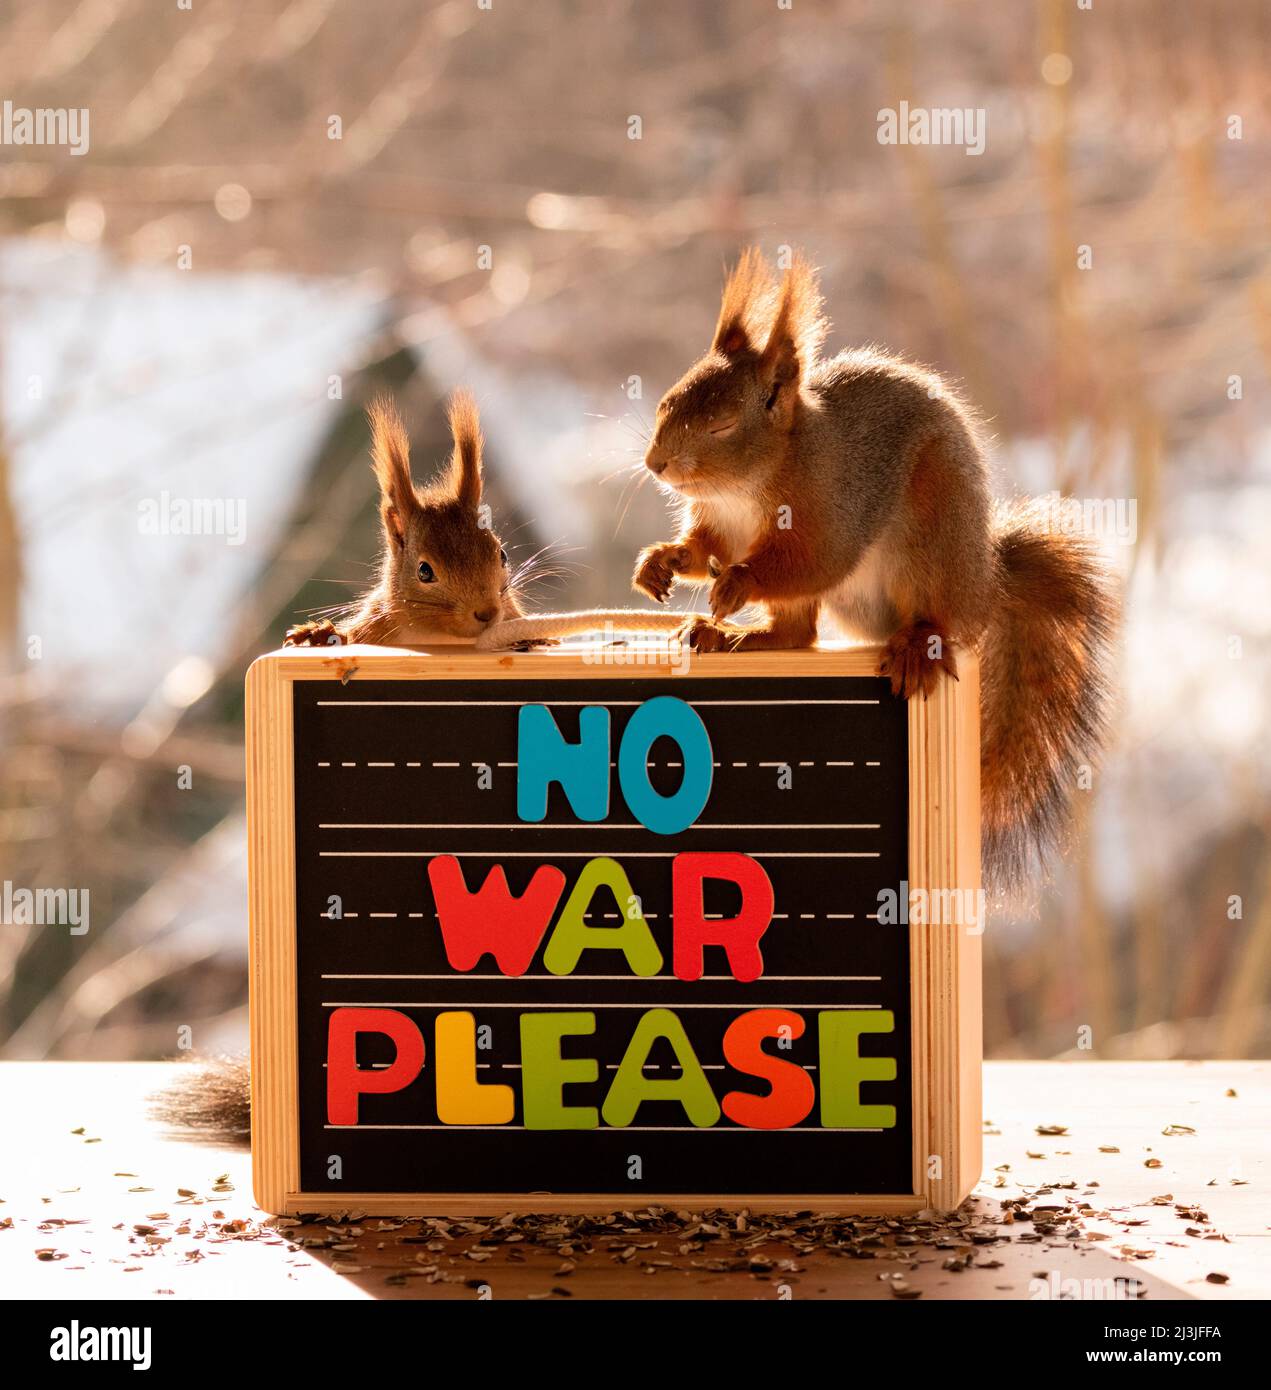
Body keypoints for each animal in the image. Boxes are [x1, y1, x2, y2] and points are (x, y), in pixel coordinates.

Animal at [632, 248, 1116, 890]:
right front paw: (661, 562)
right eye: (666, 400)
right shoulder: (720, 522)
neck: (742, 487)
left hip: (930, 541)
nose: (654, 463)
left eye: (721, 425)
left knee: (929, 618)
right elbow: (703, 548)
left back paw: (915, 643)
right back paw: (730, 636)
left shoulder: (828, 505)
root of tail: (985, 586)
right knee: (797, 633)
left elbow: (811, 560)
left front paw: (739, 581)